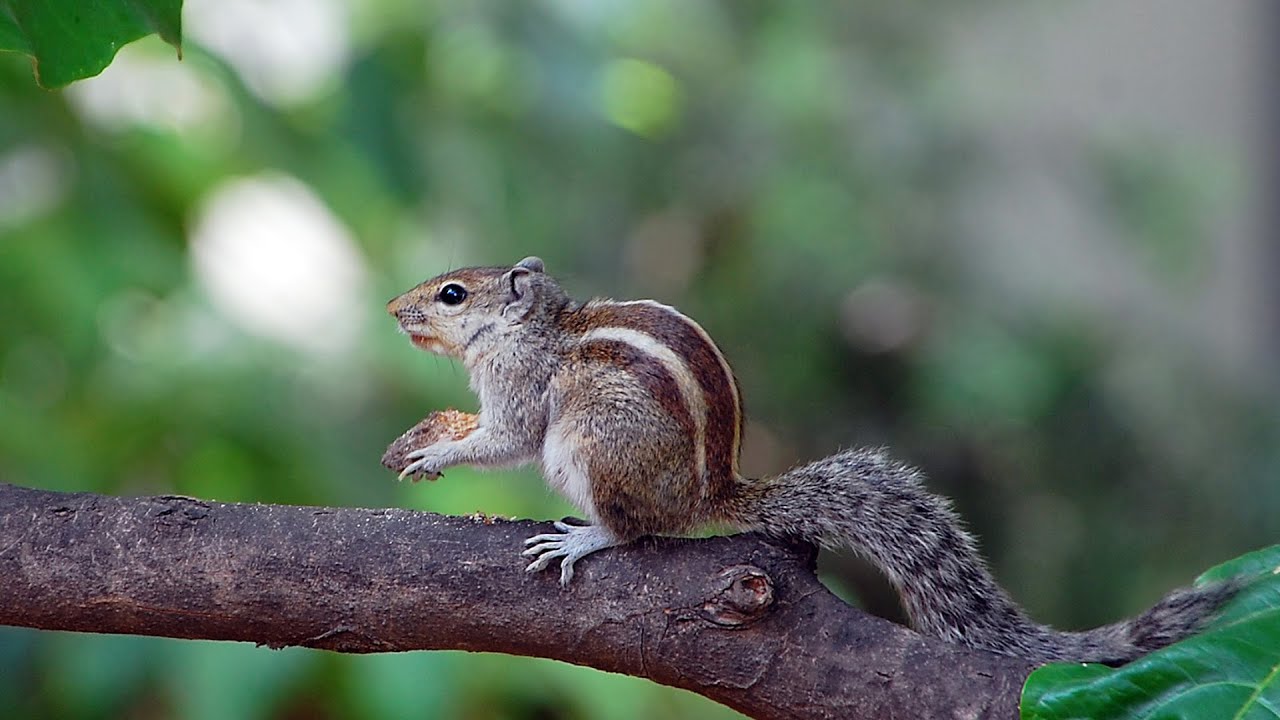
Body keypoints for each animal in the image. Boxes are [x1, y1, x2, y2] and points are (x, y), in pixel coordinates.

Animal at [386, 256, 1237, 665]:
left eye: (454, 294)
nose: (393, 309)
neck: (533, 327)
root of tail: (709, 497)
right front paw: (428, 434)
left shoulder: (523, 387)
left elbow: (508, 438)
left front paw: (440, 453)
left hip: (593, 446)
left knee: (634, 531)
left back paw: (585, 536)